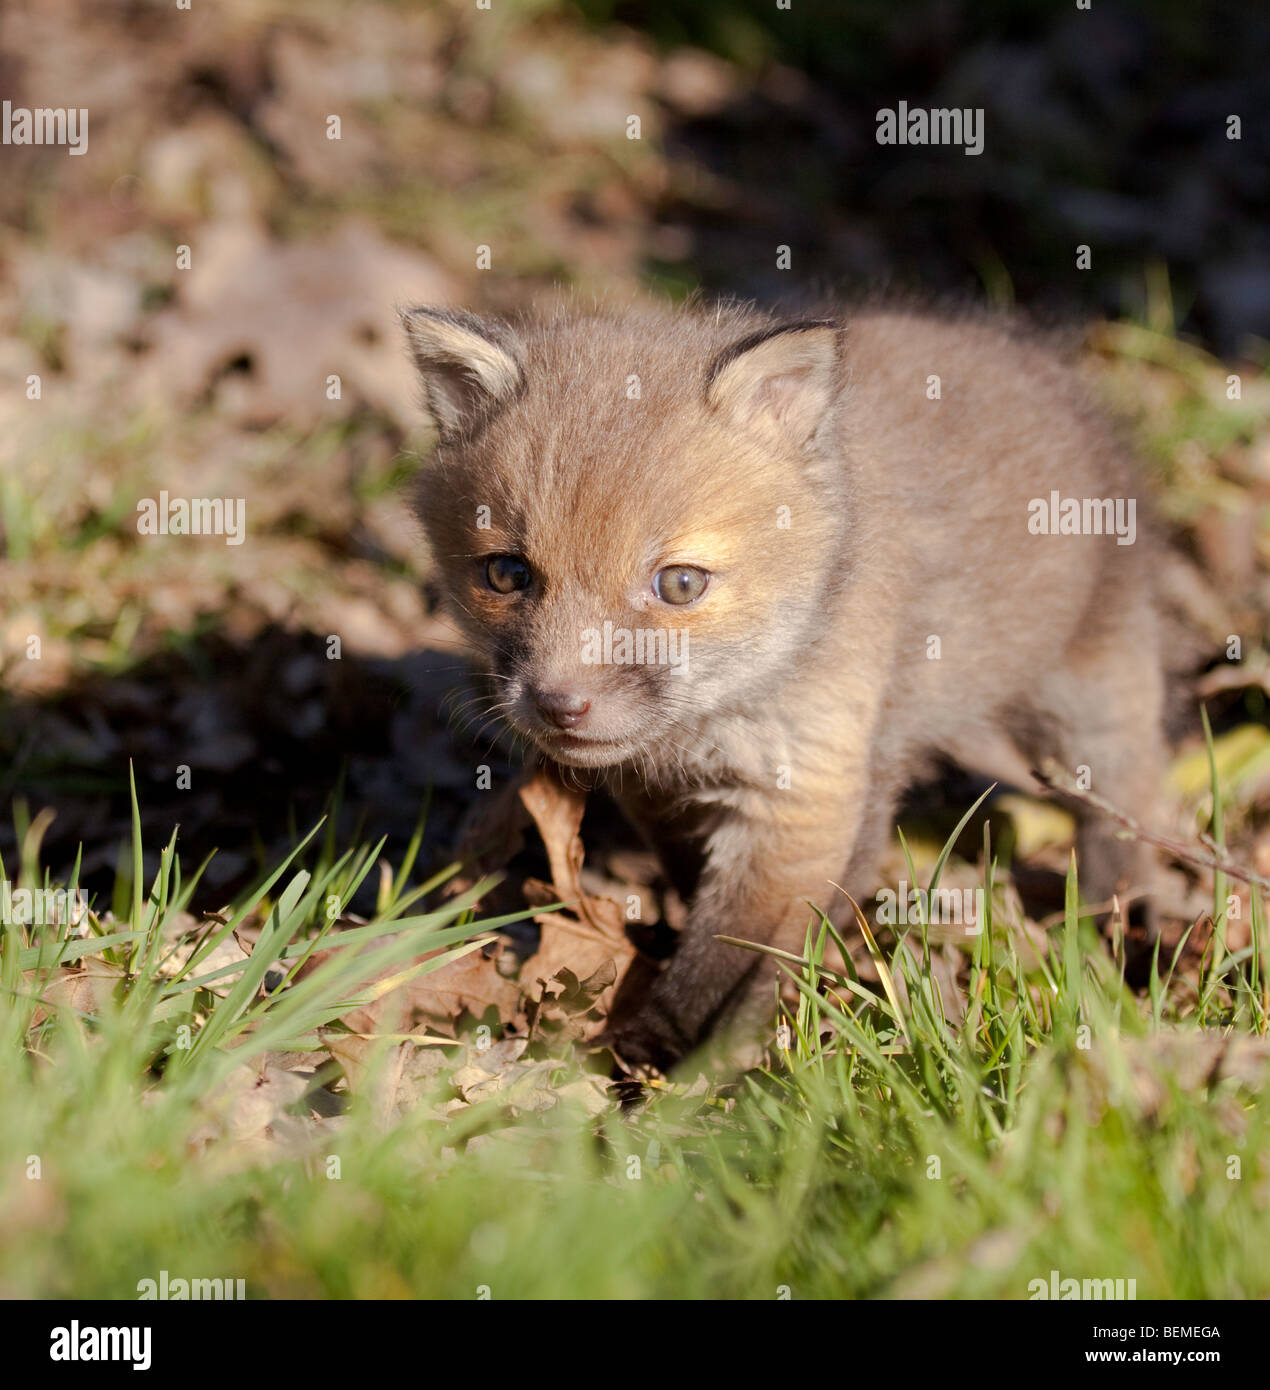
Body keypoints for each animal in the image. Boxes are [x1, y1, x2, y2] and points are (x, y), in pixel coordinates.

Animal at [402, 298, 1165, 1070]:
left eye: (680, 584)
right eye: (506, 574)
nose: (559, 704)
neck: (715, 718)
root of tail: (1022, 347)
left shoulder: (801, 795)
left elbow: (729, 952)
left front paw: (677, 1061)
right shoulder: (659, 792)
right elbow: (699, 887)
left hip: (1090, 698)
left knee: (1125, 797)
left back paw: (1121, 921)